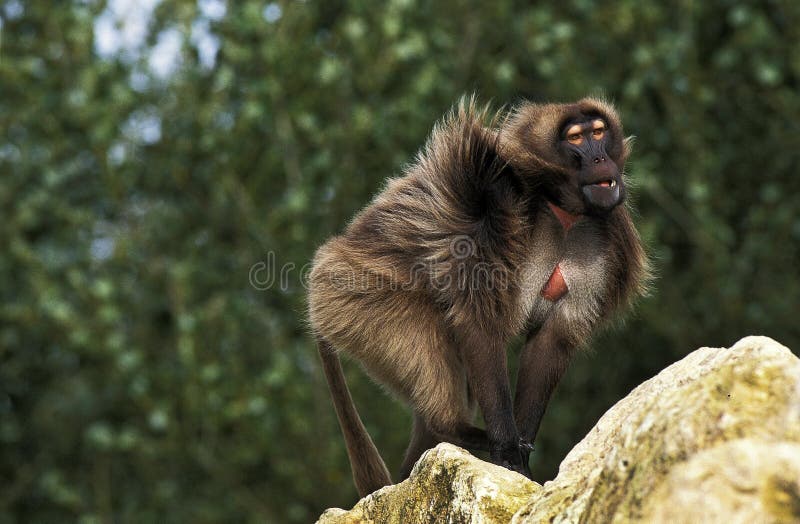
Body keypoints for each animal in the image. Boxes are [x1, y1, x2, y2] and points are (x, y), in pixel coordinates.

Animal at [307, 96, 648, 497]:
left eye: (599, 132)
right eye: (576, 138)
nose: (599, 158)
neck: (559, 209)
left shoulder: (602, 242)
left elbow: (552, 339)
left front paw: (521, 460)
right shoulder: (489, 204)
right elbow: (479, 320)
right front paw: (506, 449)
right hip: (354, 299)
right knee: (426, 348)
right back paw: (453, 429)